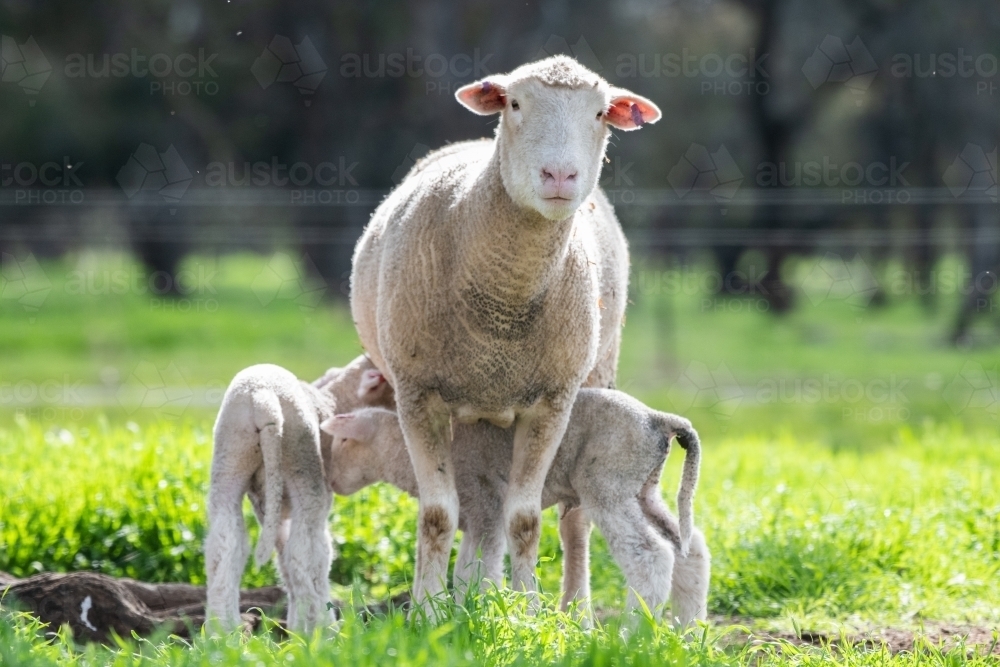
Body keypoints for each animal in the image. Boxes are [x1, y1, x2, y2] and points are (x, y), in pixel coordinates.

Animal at [204, 355, 393, 634]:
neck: (334, 401)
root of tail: (262, 398)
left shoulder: (272, 510)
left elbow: (283, 558)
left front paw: (295, 625)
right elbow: (299, 554)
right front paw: (305, 626)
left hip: (230, 454)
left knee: (225, 543)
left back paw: (223, 631)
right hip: (302, 458)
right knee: (307, 550)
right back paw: (323, 629)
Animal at [320, 388, 710, 626]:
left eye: (343, 440)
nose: (332, 481)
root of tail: (657, 418)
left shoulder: (487, 509)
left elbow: (483, 570)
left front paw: (482, 612)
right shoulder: (475, 520)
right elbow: (464, 570)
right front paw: (459, 614)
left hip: (608, 482)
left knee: (651, 554)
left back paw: (631, 632)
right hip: (642, 487)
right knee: (690, 549)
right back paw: (687, 631)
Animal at [350, 54, 661, 606]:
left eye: (600, 112)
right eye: (514, 103)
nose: (559, 173)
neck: (503, 308)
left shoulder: (552, 402)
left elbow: (525, 519)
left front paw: (526, 609)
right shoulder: (416, 392)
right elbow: (437, 515)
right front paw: (427, 610)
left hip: (595, 373)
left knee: (573, 520)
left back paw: (573, 610)